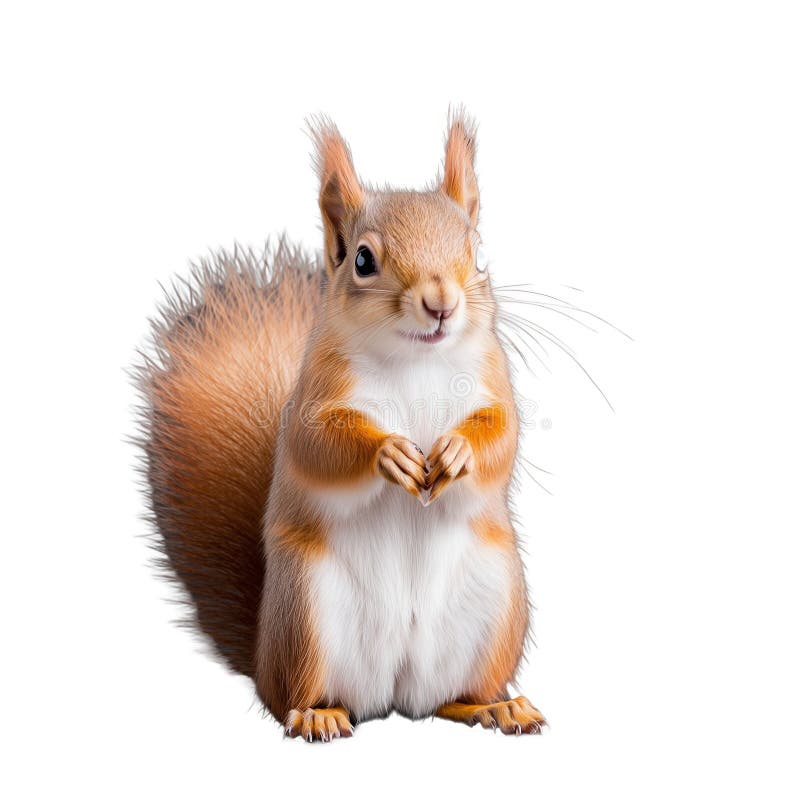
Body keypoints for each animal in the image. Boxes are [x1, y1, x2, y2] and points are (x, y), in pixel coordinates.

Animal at [137, 110, 546, 741]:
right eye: (362, 259)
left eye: (476, 250)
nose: (441, 304)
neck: (415, 359)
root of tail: (395, 693)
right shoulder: (314, 396)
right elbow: (317, 444)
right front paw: (390, 453)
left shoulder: (492, 379)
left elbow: (502, 436)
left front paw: (456, 452)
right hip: (308, 614)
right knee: (290, 697)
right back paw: (317, 714)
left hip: (496, 606)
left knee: (453, 696)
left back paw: (494, 706)